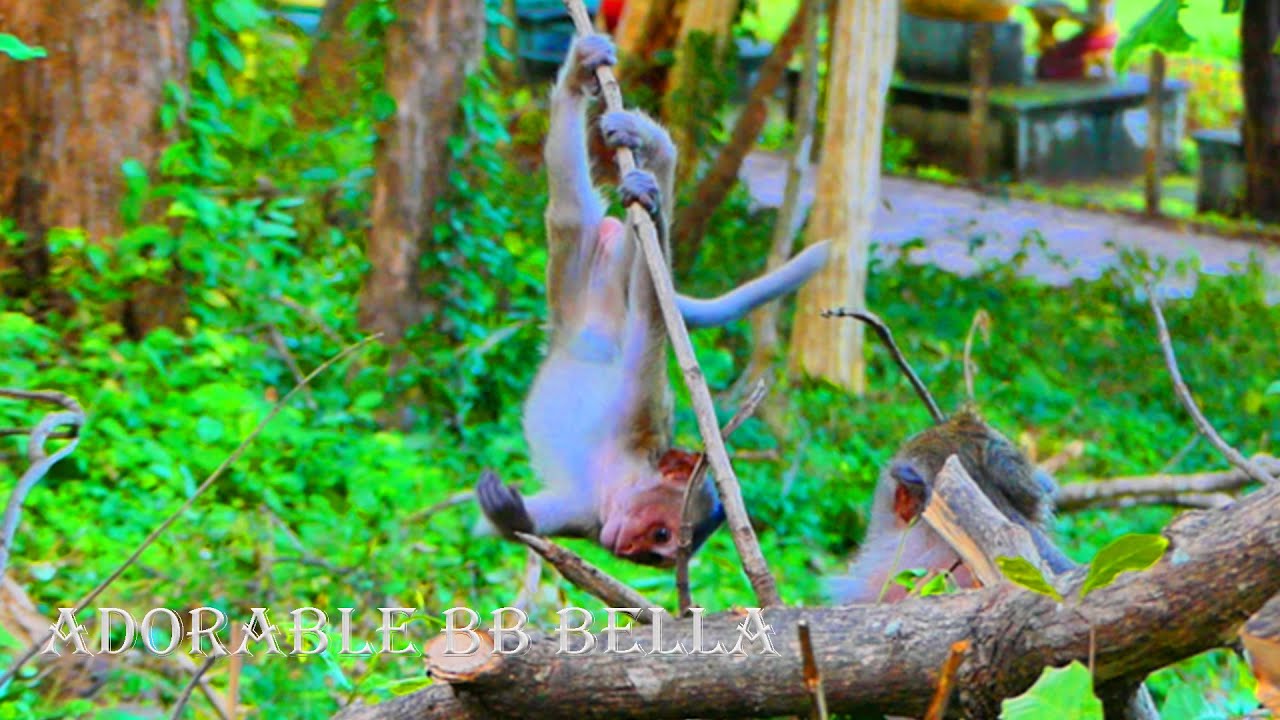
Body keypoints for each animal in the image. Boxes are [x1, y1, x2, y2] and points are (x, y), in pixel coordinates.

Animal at [475, 33, 830, 567]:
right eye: (663, 533)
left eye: (655, 553)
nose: (628, 546)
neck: (617, 475)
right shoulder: (633, 412)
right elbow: (649, 313)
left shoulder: (590, 512)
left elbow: (520, 524)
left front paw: (507, 511)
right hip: (586, 272)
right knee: (588, 223)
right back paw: (645, 151)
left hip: (577, 280)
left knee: (575, 216)